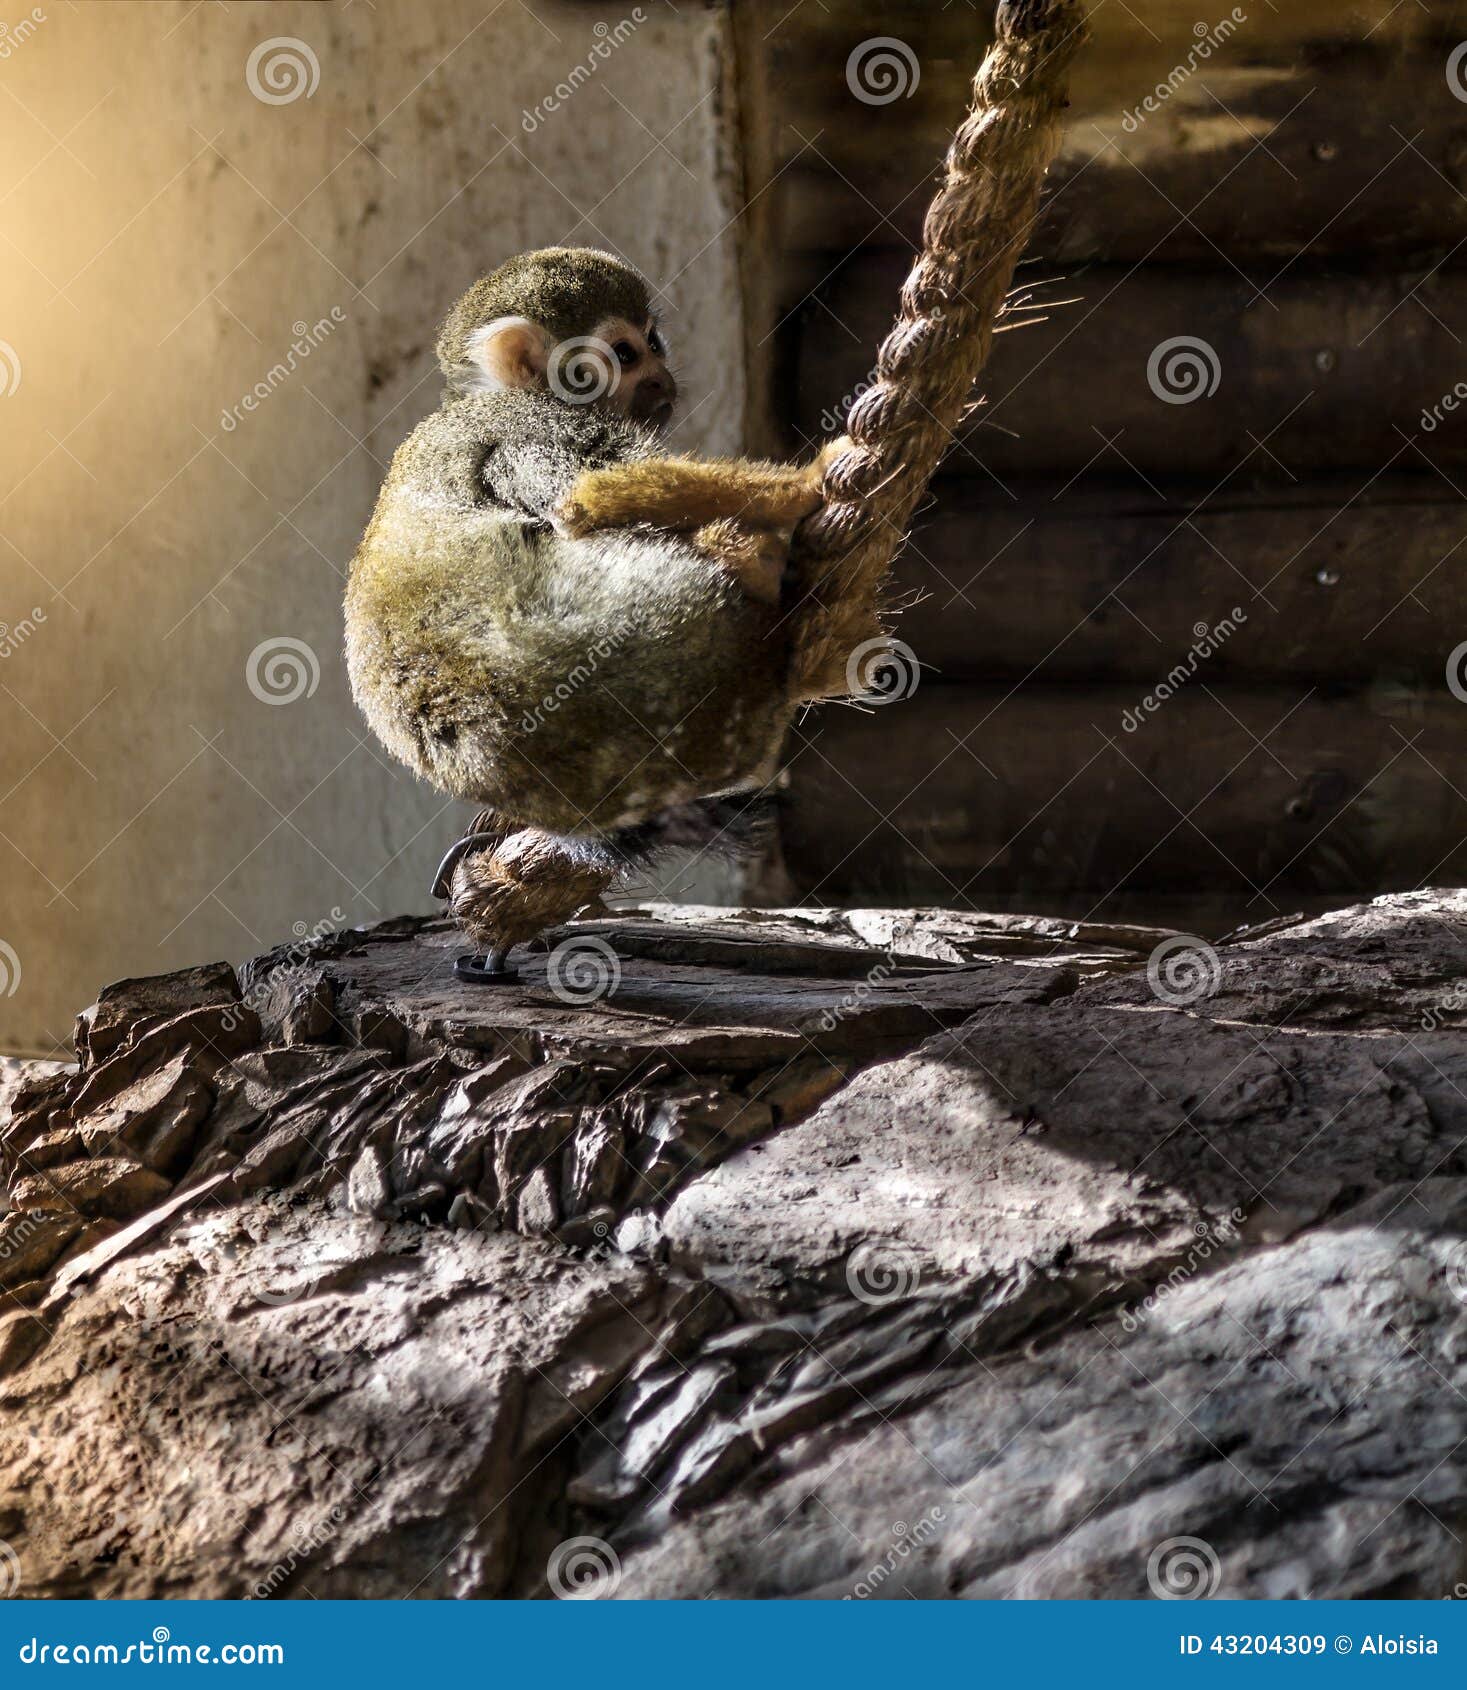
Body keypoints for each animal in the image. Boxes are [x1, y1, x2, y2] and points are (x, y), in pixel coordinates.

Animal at [346, 248, 845, 868]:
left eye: (654, 341)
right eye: (625, 354)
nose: (661, 378)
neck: (487, 393)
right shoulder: (531, 423)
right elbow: (584, 495)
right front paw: (804, 483)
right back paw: (752, 561)